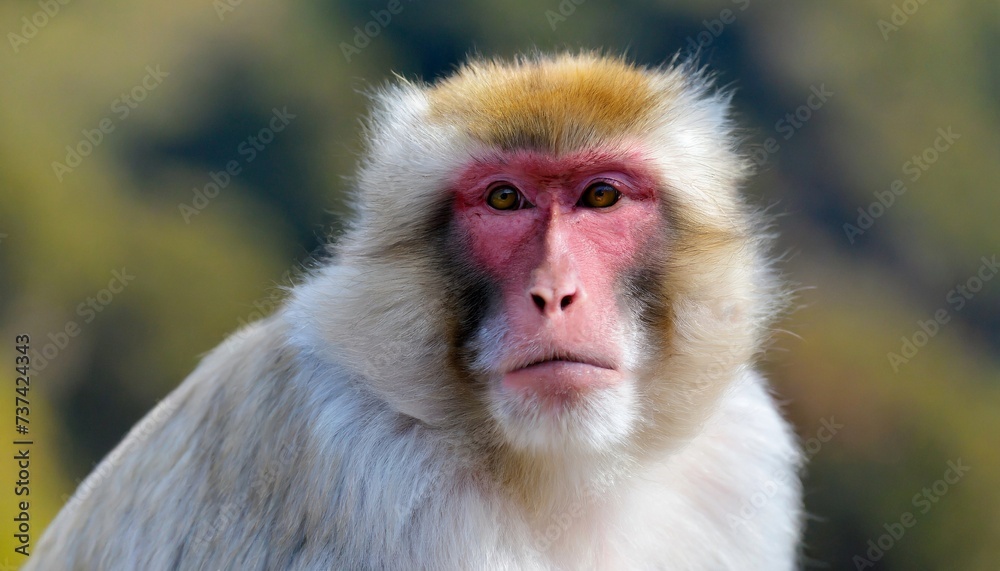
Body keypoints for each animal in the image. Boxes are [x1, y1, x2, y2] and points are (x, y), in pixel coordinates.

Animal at [26, 52, 803, 570]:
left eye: (602, 196)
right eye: (504, 199)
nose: (554, 292)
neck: (555, 475)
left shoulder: (741, 455)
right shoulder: (380, 481)